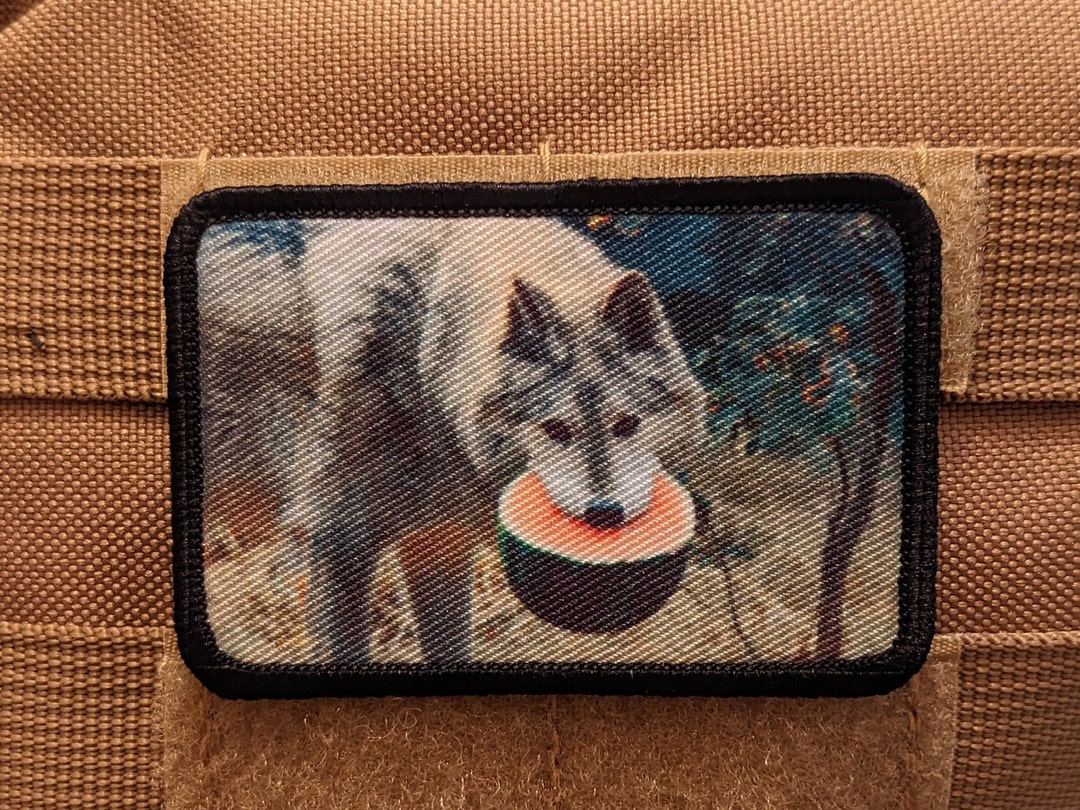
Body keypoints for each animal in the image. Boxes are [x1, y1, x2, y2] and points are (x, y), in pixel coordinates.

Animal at [197, 217, 707, 664]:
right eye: (556, 429)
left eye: (626, 425)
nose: (604, 514)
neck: (422, 351)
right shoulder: (338, 541)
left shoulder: (441, 549)